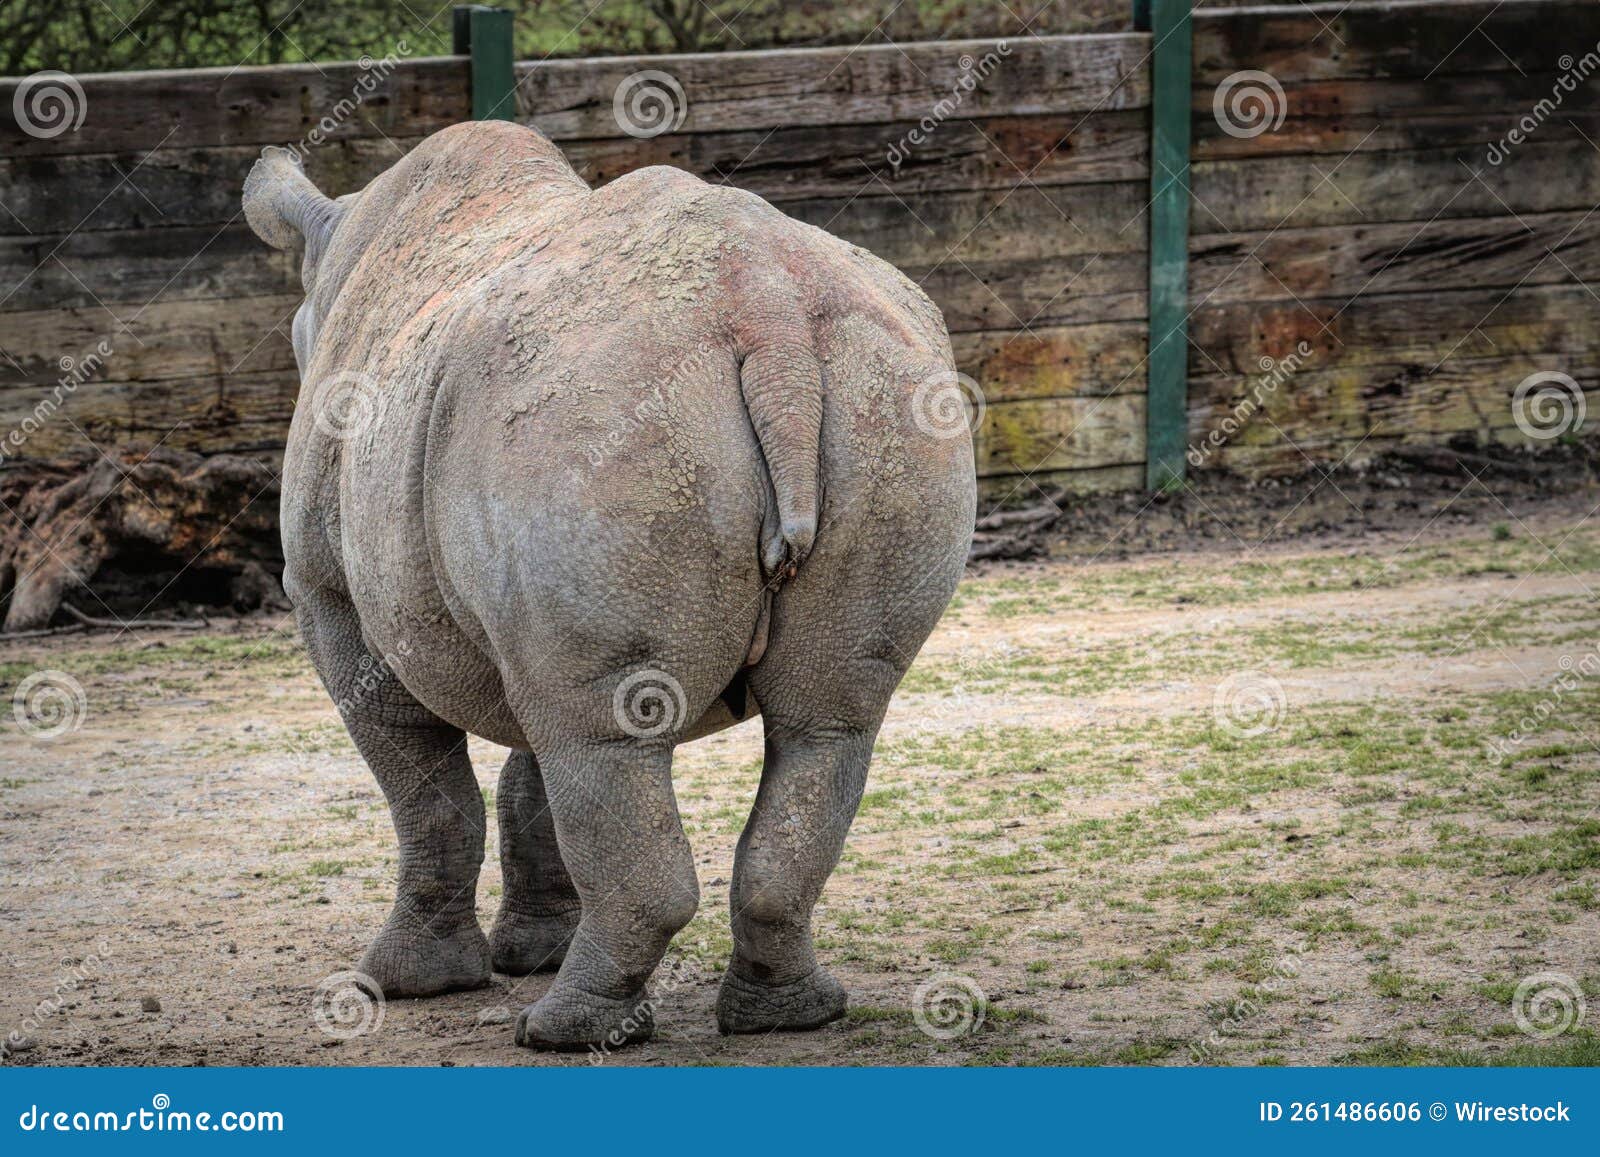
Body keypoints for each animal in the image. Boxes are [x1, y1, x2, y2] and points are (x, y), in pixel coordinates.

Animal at [242, 121, 975, 1050]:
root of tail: (770, 317)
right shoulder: (511, 607)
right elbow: (531, 776)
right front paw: (530, 951)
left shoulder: (326, 592)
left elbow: (428, 787)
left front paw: (409, 983)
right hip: (887, 401)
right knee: (823, 718)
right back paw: (786, 1015)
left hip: (593, 427)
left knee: (602, 728)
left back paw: (564, 1031)